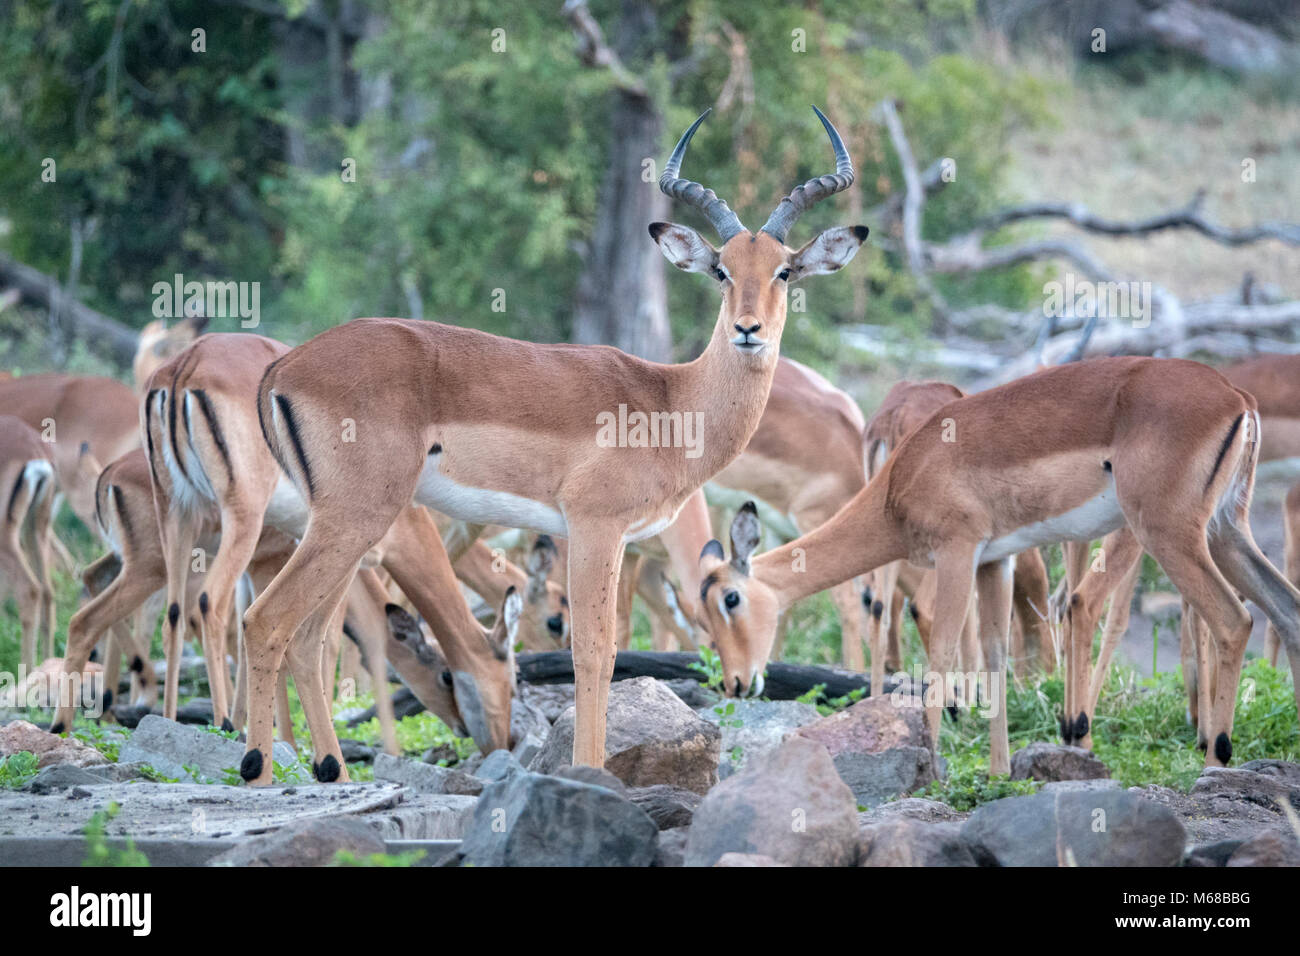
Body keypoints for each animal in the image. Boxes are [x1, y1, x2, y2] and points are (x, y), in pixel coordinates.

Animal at [243, 107, 868, 776]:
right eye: (722, 270)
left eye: (784, 270)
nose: (748, 330)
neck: (671, 402)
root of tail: (282, 369)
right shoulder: (596, 528)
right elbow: (595, 651)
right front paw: (591, 772)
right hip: (353, 520)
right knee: (265, 620)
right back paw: (256, 769)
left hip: (347, 529)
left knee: (309, 639)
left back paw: (328, 769)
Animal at [694, 356, 1300, 775]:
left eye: (730, 598)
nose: (736, 684)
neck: (900, 478)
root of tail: (1235, 396)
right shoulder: (996, 560)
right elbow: (994, 655)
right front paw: (998, 772)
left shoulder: (957, 552)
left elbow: (940, 656)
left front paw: (932, 769)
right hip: (1226, 532)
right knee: (1286, 611)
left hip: (1169, 534)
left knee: (1234, 620)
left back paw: (1213, 761)